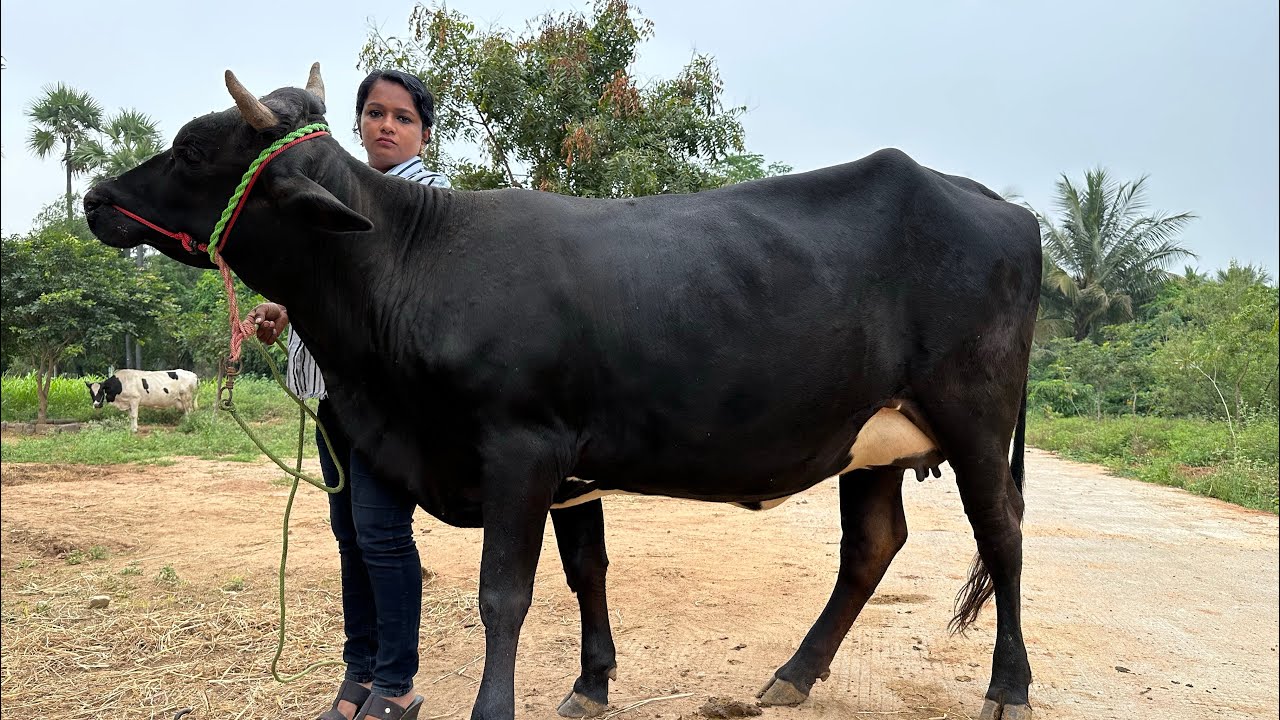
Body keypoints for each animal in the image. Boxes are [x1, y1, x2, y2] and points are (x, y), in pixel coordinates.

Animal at [83, 65, 1041, 720]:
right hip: (871, 436)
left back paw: (1009, 687)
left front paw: (493, 707)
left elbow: (503, 593)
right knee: (871, 546)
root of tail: (991, 199)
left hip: (976, 415)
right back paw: (792, 676)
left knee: (1002, 534)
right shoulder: (572, 461)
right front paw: (591, 683)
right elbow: (587, 571)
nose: (96, 196)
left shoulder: (520, 448)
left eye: (194, 148)